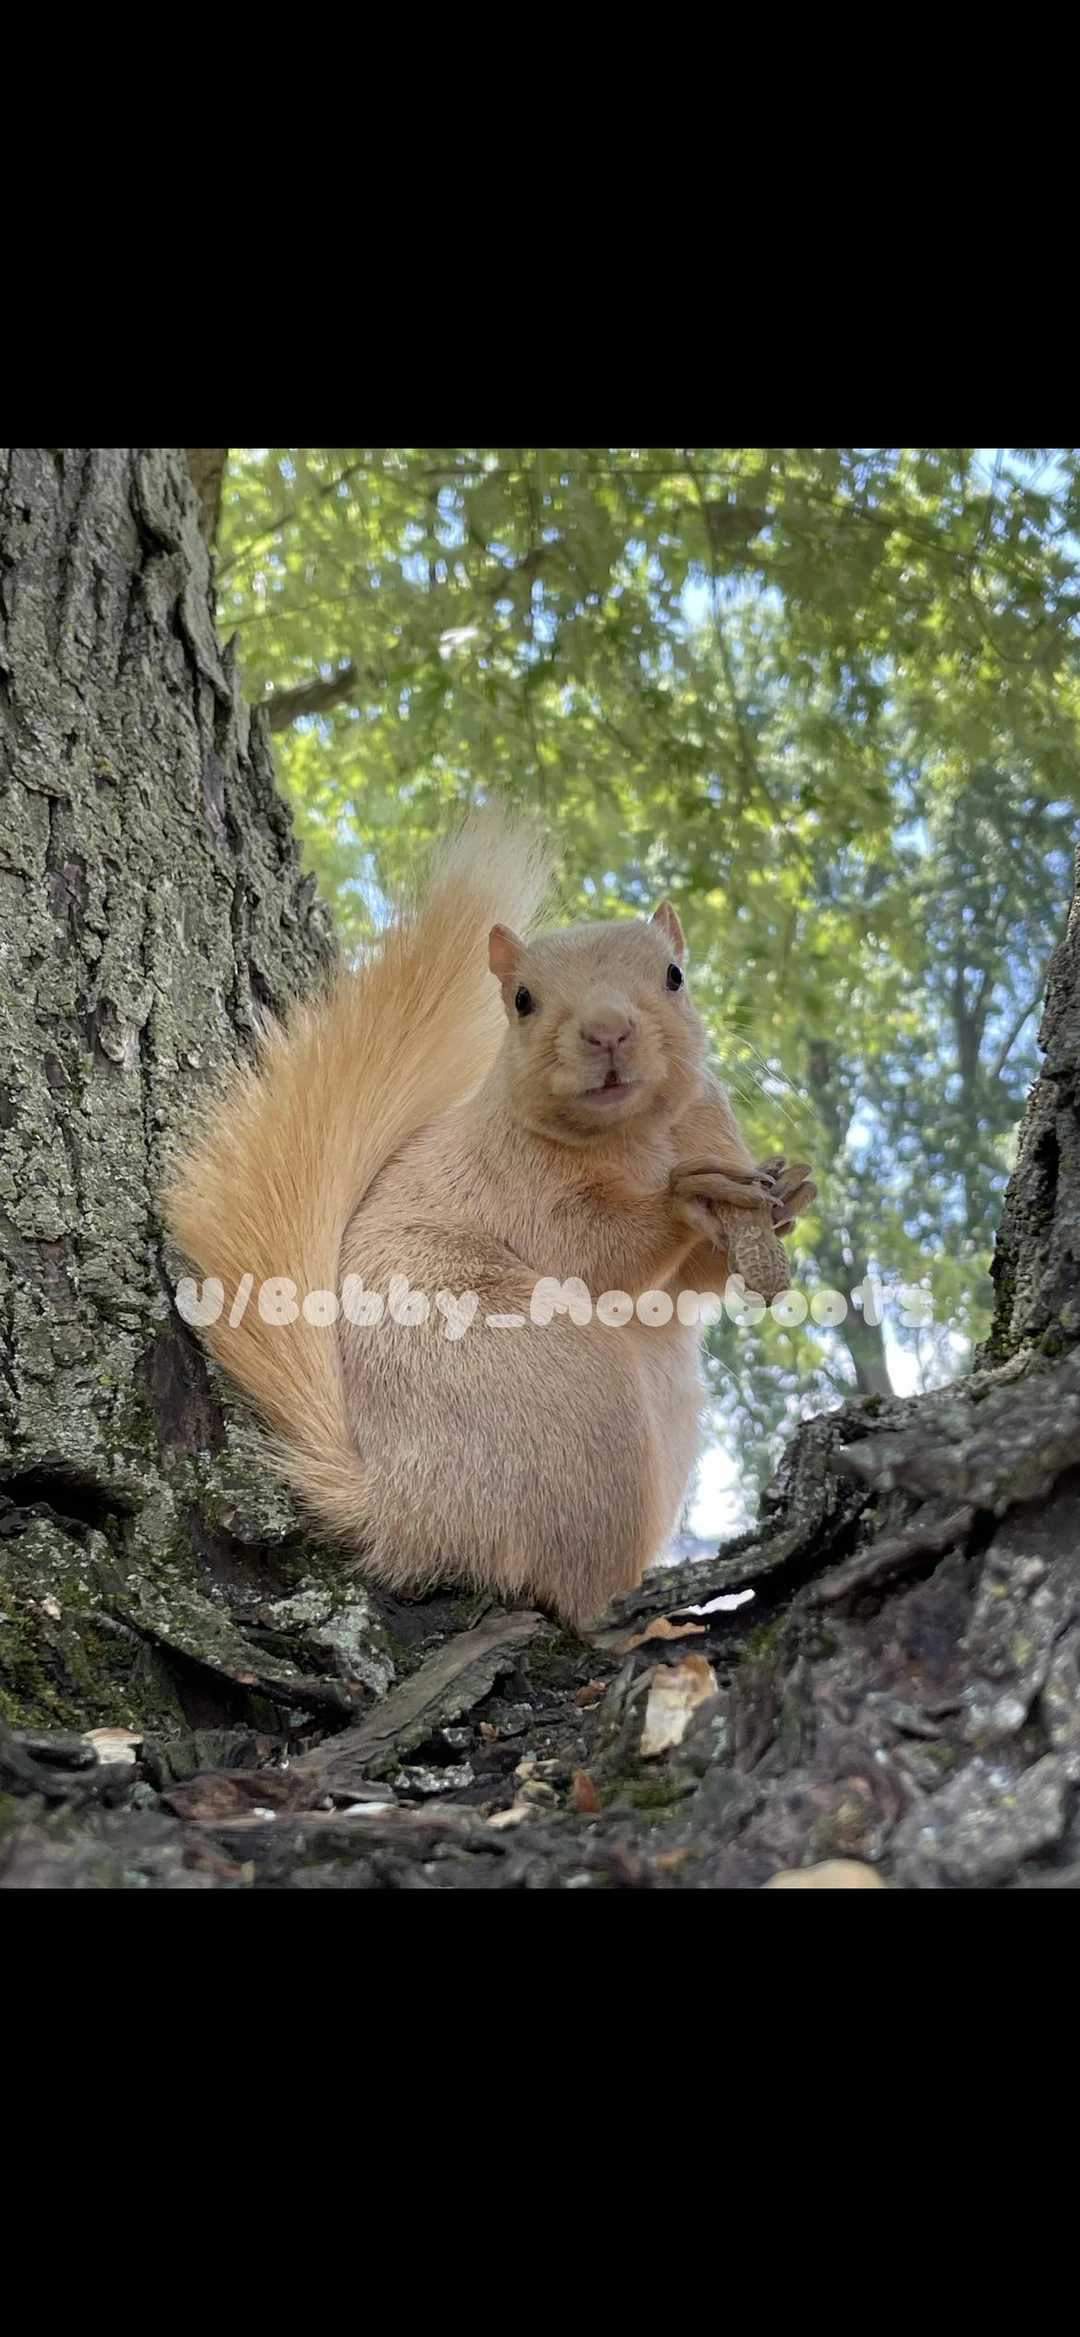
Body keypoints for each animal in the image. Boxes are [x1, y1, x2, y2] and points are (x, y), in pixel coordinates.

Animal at [165, 813, 816, 1629]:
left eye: (675, 975)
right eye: (523, 999)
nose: (607, 1030)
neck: (640, 1136)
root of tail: (401, 1509)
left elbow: (691, 1286)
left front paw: (786, 1197)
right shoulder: (518, 1183)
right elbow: (597, 1254)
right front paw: (685, 1199)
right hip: (574, 1396)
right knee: (577, 1593)